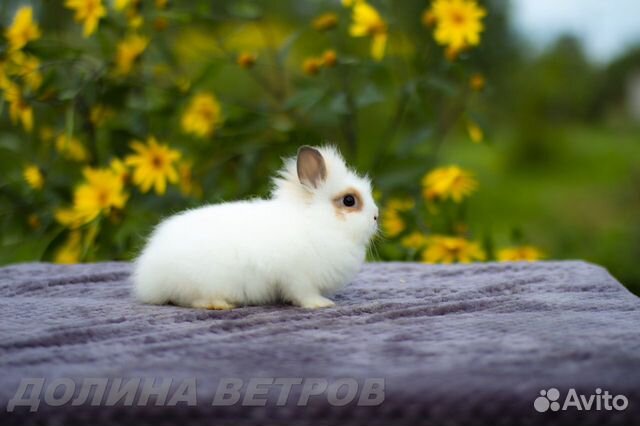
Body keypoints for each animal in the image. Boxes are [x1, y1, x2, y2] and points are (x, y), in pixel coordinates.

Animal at [132, 145, 379, 309]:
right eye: (349, 200)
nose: (376, 216)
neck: (319, 221)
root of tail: (148, 276)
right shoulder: (298, 277)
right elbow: (303, 294)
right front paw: (321, 304)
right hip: (201, 282)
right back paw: (220, 305)